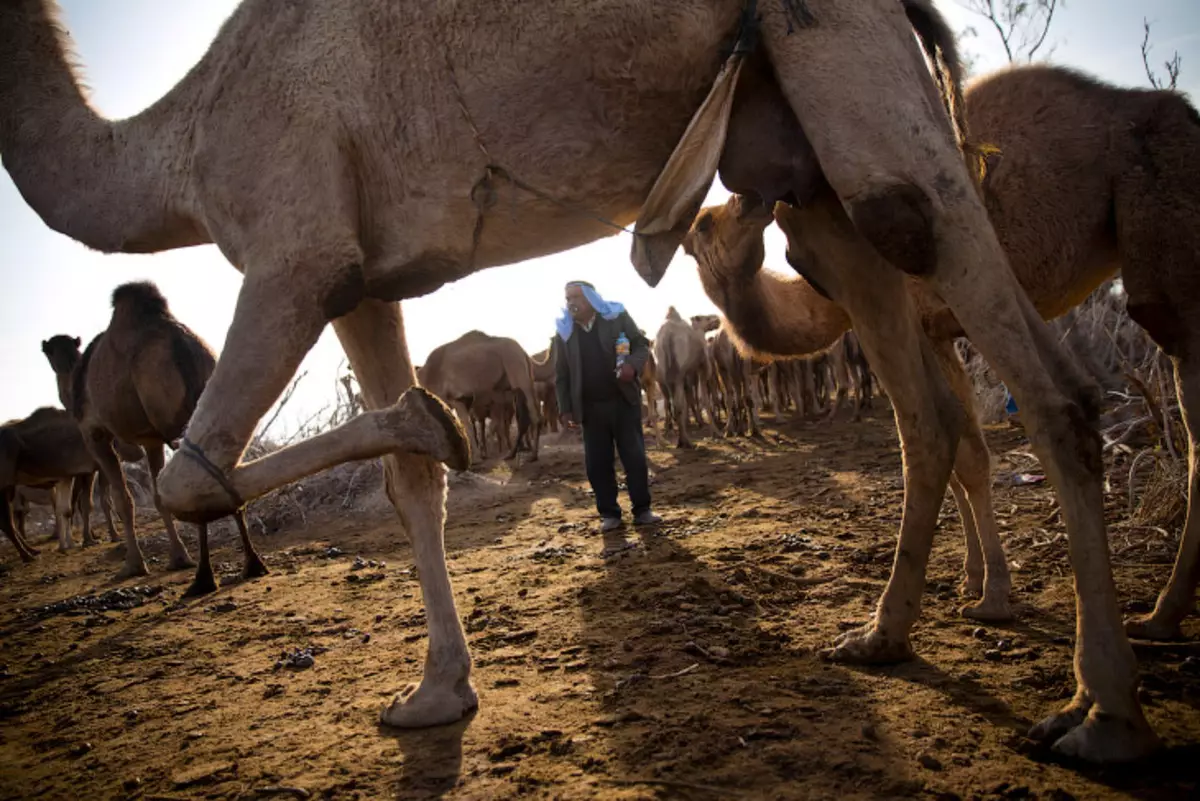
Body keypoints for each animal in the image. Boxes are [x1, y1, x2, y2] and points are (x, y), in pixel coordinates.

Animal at [62, 282, 268, 594]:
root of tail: (184, 344)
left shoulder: (94, 432)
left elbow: (124, 499)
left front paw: (134, 566)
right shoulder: (150, 438)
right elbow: (159, 498)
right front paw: (178, 557)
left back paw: (205, 578)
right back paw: (251, 564)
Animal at [417, 330, 540, 462]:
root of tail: (523, 351)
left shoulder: (455, 398)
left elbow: (466, 425)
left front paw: (476, 459)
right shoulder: (461, 400)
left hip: (515, 364)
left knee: (531, 411)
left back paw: (532, 455)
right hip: (522, 373)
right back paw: (514, 454)